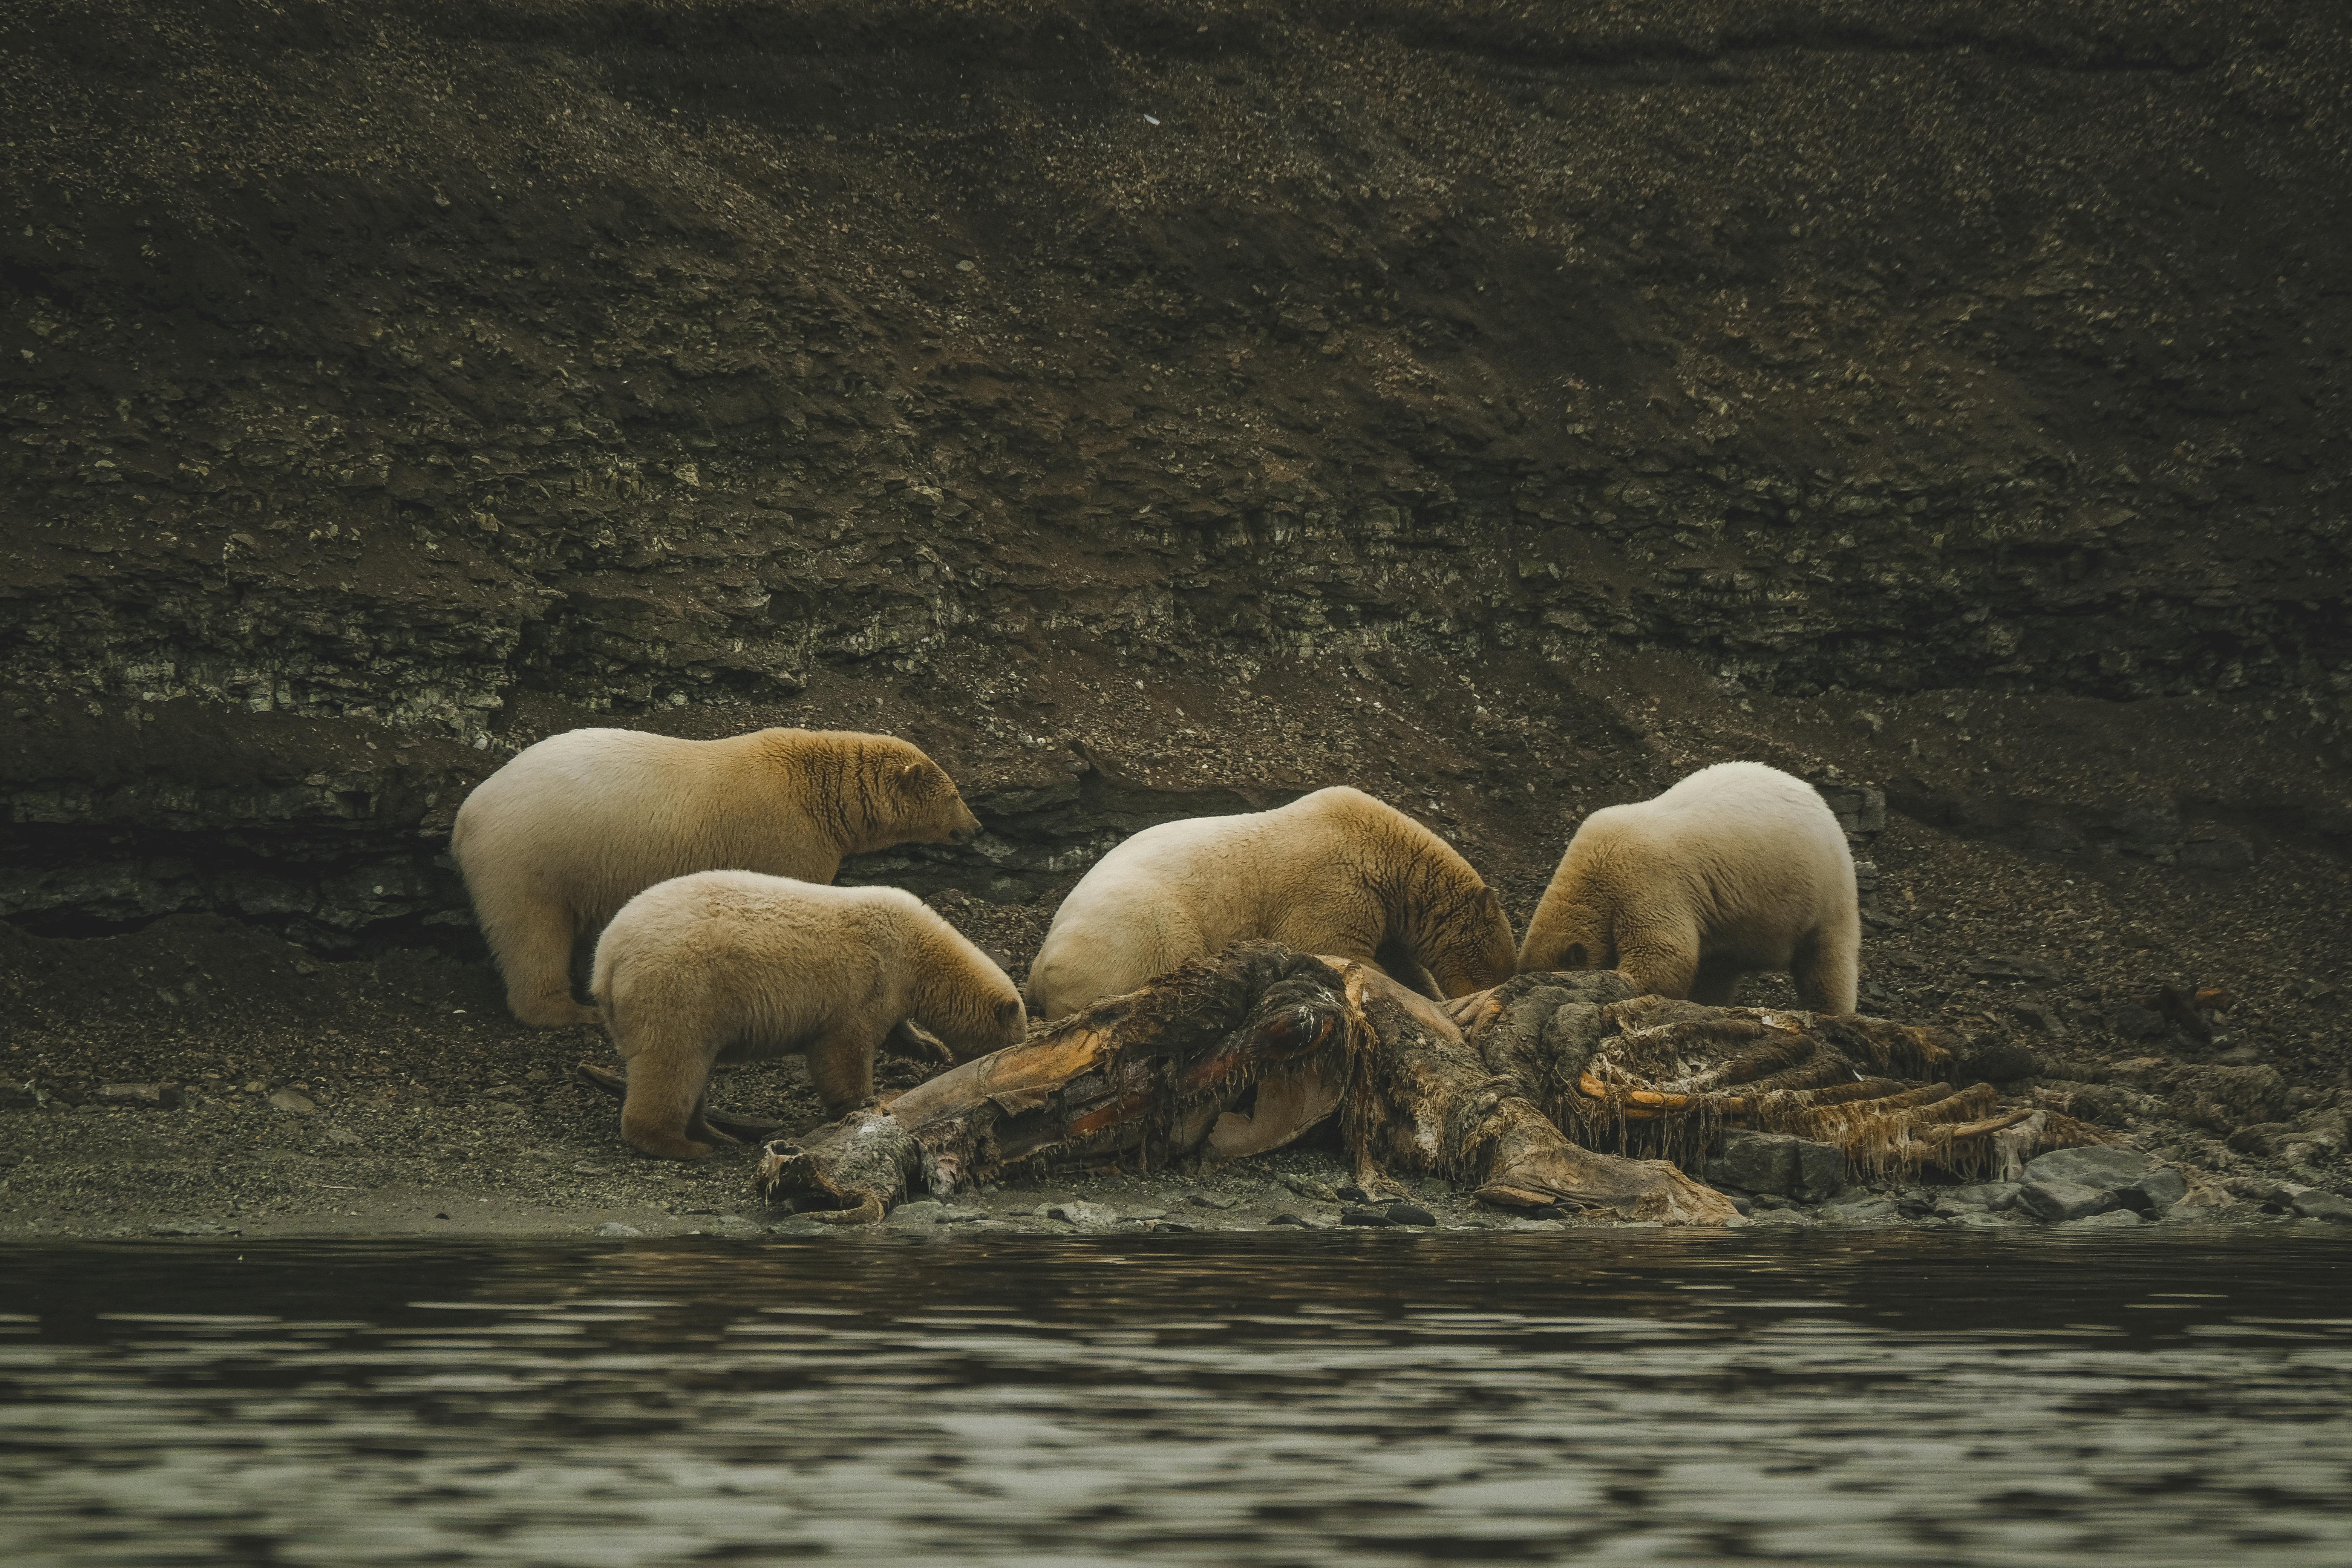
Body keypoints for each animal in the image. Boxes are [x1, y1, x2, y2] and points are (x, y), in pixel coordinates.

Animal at [450, 726, 981, 1028]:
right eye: (957, 794)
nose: (976, 826)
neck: (816, 791)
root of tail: (465, 815)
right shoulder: (784, 835)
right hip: (529, 857)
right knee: (532, 933)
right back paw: (567, 1012)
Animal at [590, 870, 1027, 1160]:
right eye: (1017, 1041)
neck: (919, 948)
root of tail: (607, 956)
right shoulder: (866, 979)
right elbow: (844, 1050)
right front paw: (863, 1105)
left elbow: (895, 1028)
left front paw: (930, 1047)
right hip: (679, 987)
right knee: (673, 1063)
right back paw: (686, 1144)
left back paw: (716, 1134)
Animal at [1024, 785, 1516, 1019]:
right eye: (1502, 966)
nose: (1497, 989)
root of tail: (1038, 966)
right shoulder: (1332, 884)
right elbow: (1335, 948)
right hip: (1138, 930)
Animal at [1516, 760, 1859, 1013]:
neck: (1595, 864)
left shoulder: (1645, 881)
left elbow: (1664, 953)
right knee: (1718, 969)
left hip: (1824, 886)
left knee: (1826, 959)